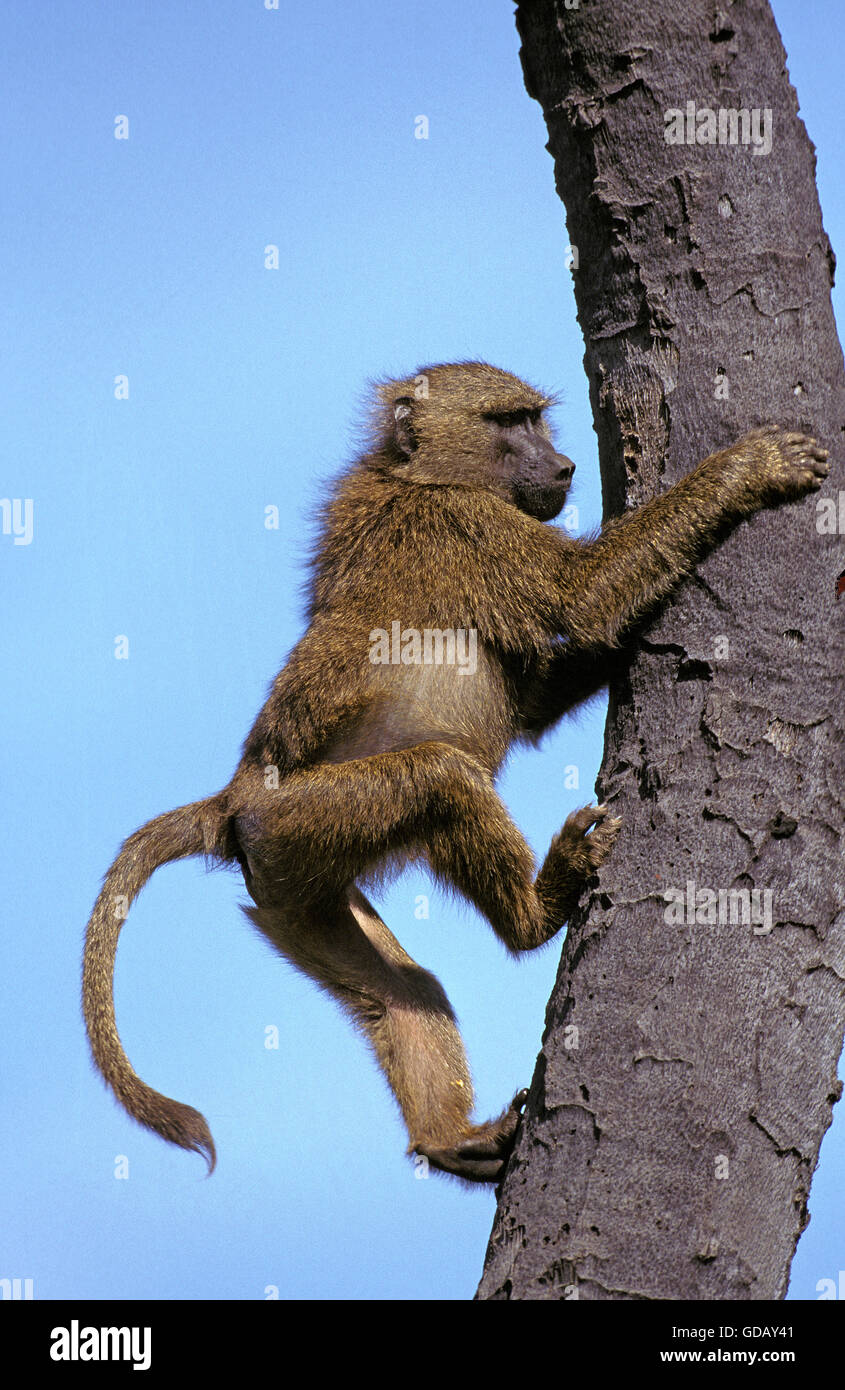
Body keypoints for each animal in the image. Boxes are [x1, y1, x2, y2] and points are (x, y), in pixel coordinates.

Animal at [82, 361, 829, 1183]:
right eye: (508, 422)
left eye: (537, 420)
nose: (564, 468)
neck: (416, 472)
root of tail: (234, 796)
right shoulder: (467, 522)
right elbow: (584, 591)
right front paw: (752, 467)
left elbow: (535, 694)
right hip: (298, 816)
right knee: (444, 775)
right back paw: (538, 911)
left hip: (291, 888)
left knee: (402, 990)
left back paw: (448, 1139)